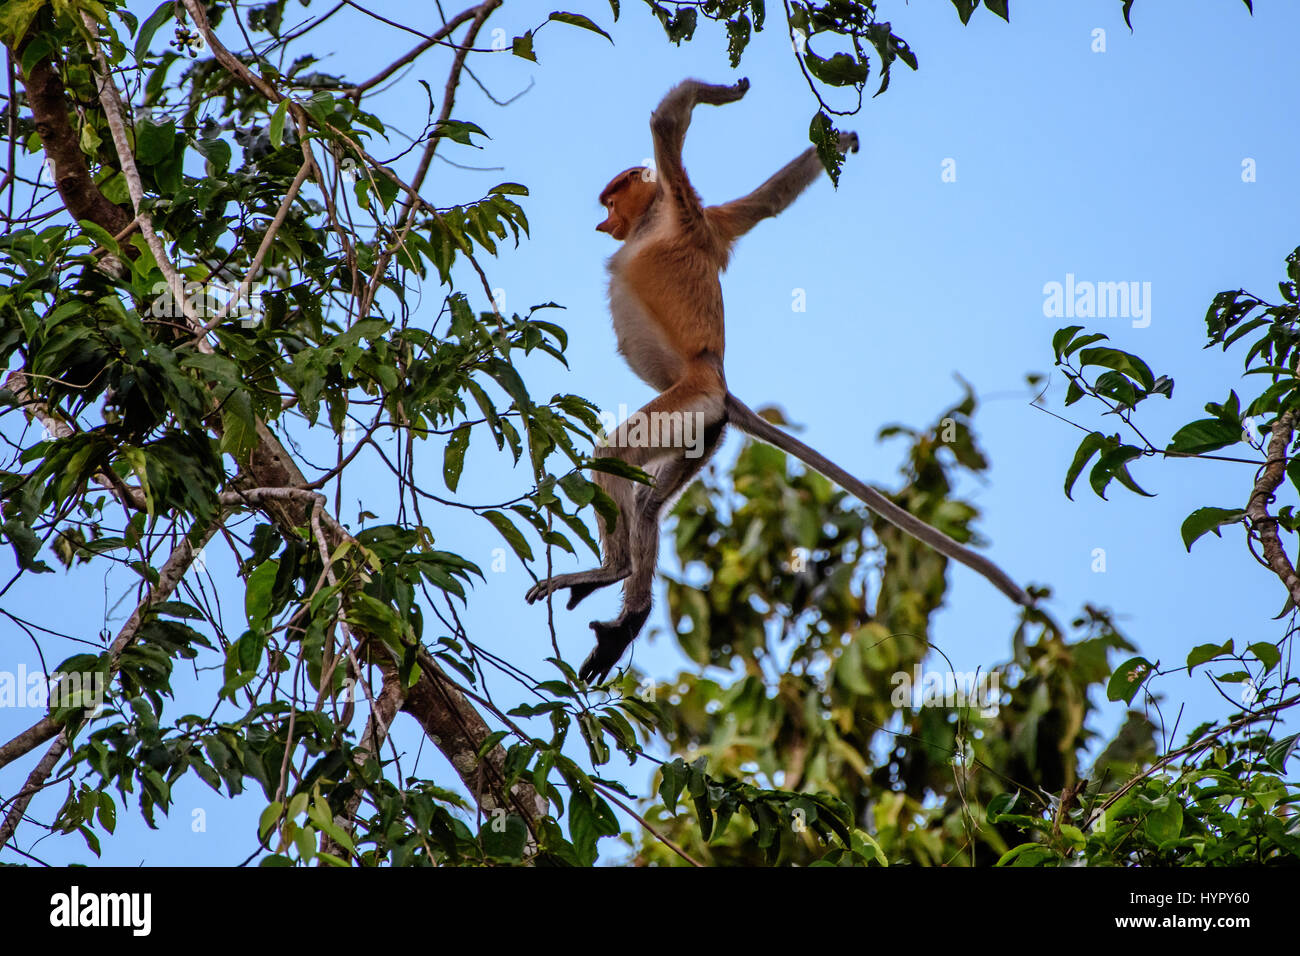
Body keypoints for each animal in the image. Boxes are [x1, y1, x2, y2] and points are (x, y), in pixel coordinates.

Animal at [526, 77, 1031, 684]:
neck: (651, 219)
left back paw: (612, 571)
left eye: (609, 202)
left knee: (614, 455)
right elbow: (763, 204)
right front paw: (840, 140)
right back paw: (629, 616)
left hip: (688, 405)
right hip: (705, 431)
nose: (604, 224)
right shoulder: (713, 218)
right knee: (648, 505)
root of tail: (721, 388)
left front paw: (722, 92)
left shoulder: (681, 202)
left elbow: (667, 126)